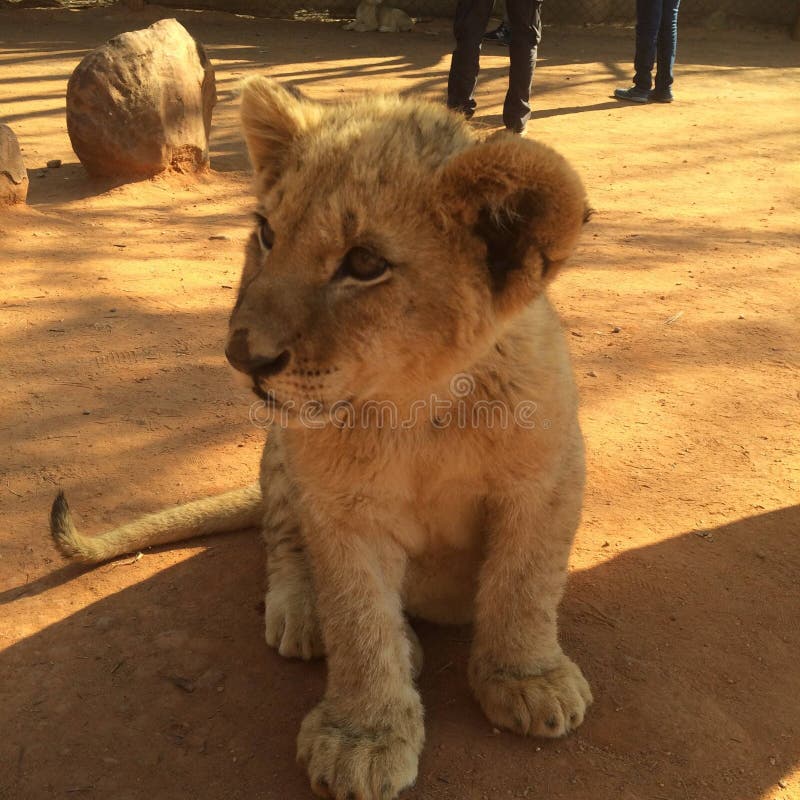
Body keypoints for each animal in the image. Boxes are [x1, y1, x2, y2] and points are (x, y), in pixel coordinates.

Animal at [50, 77, 594, 800]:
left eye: (363, 263)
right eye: (266, 233)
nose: (241, 356)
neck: (415, 407)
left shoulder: (548, 479)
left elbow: (526, 582)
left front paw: (529, 678)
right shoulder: (338, 507)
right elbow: (358, 619)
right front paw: (361, 737)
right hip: (283, 457)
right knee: (283, 542)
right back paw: (313, 617)